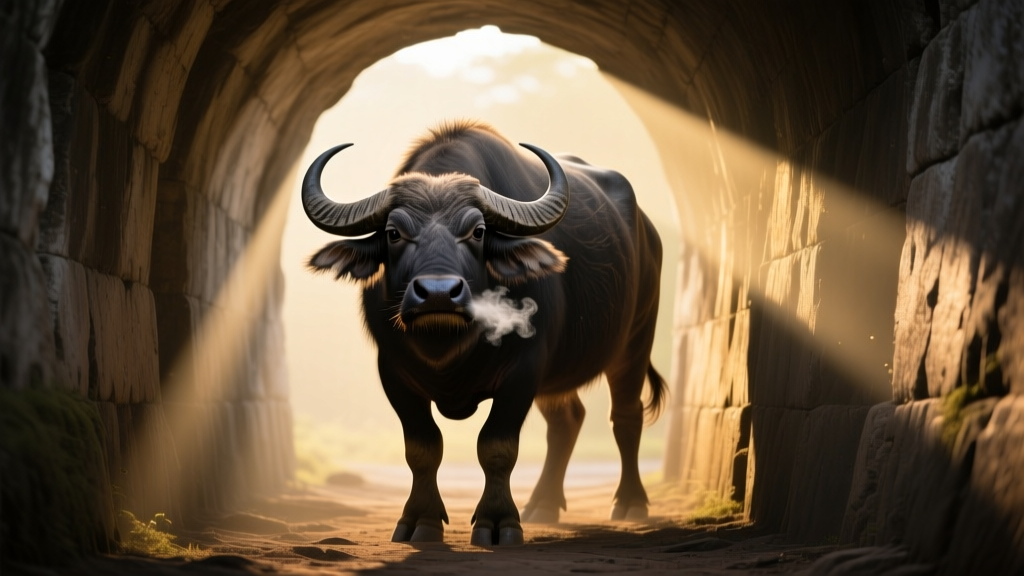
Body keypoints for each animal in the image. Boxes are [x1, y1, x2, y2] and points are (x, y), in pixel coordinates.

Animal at [302, 121, 665, 546]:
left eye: (477, 232)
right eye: (393, 233)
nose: (438, 293)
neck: (447, 347)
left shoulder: (523, 370)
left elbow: (496, 447)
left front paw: (498, 522)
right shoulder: (393, 372)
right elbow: (422, 448)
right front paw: (420, 521)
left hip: (636, 338)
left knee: (626, 415)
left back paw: (630, 503)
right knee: (567, 420)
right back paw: (543, 505)